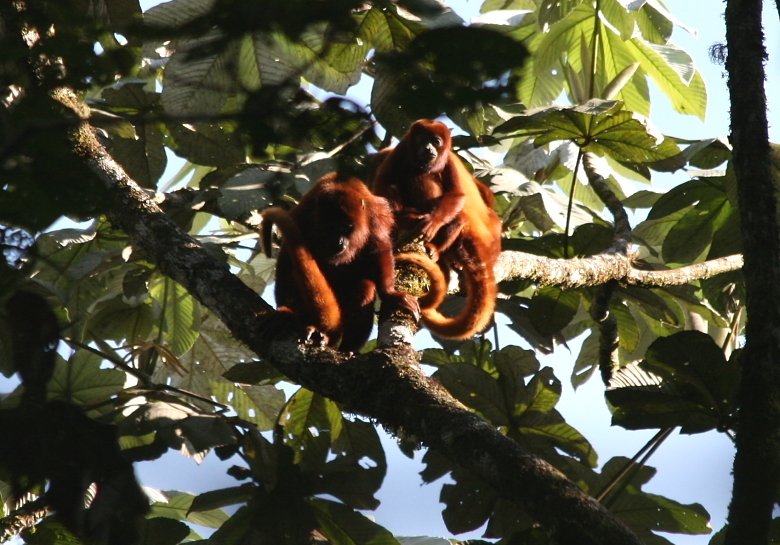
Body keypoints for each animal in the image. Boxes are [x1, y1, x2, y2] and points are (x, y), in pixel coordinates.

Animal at [262, 173, 419, 352]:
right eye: (330, 228)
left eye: (348, 227)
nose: (339, 242)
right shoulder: (301, 216)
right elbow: (287, 261)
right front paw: (286, 312)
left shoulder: (375, 216)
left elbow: (380, 249)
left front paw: (390, 294)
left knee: (365, 286)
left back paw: (347, 347)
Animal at [372, 119, 502, 340]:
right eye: (422, 140)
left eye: (436, 141)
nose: (428, 148)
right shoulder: (399, 151)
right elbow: (384, 183)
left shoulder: (448, 161)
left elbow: (457, 194)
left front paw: (431, 222)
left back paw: (435, 247)